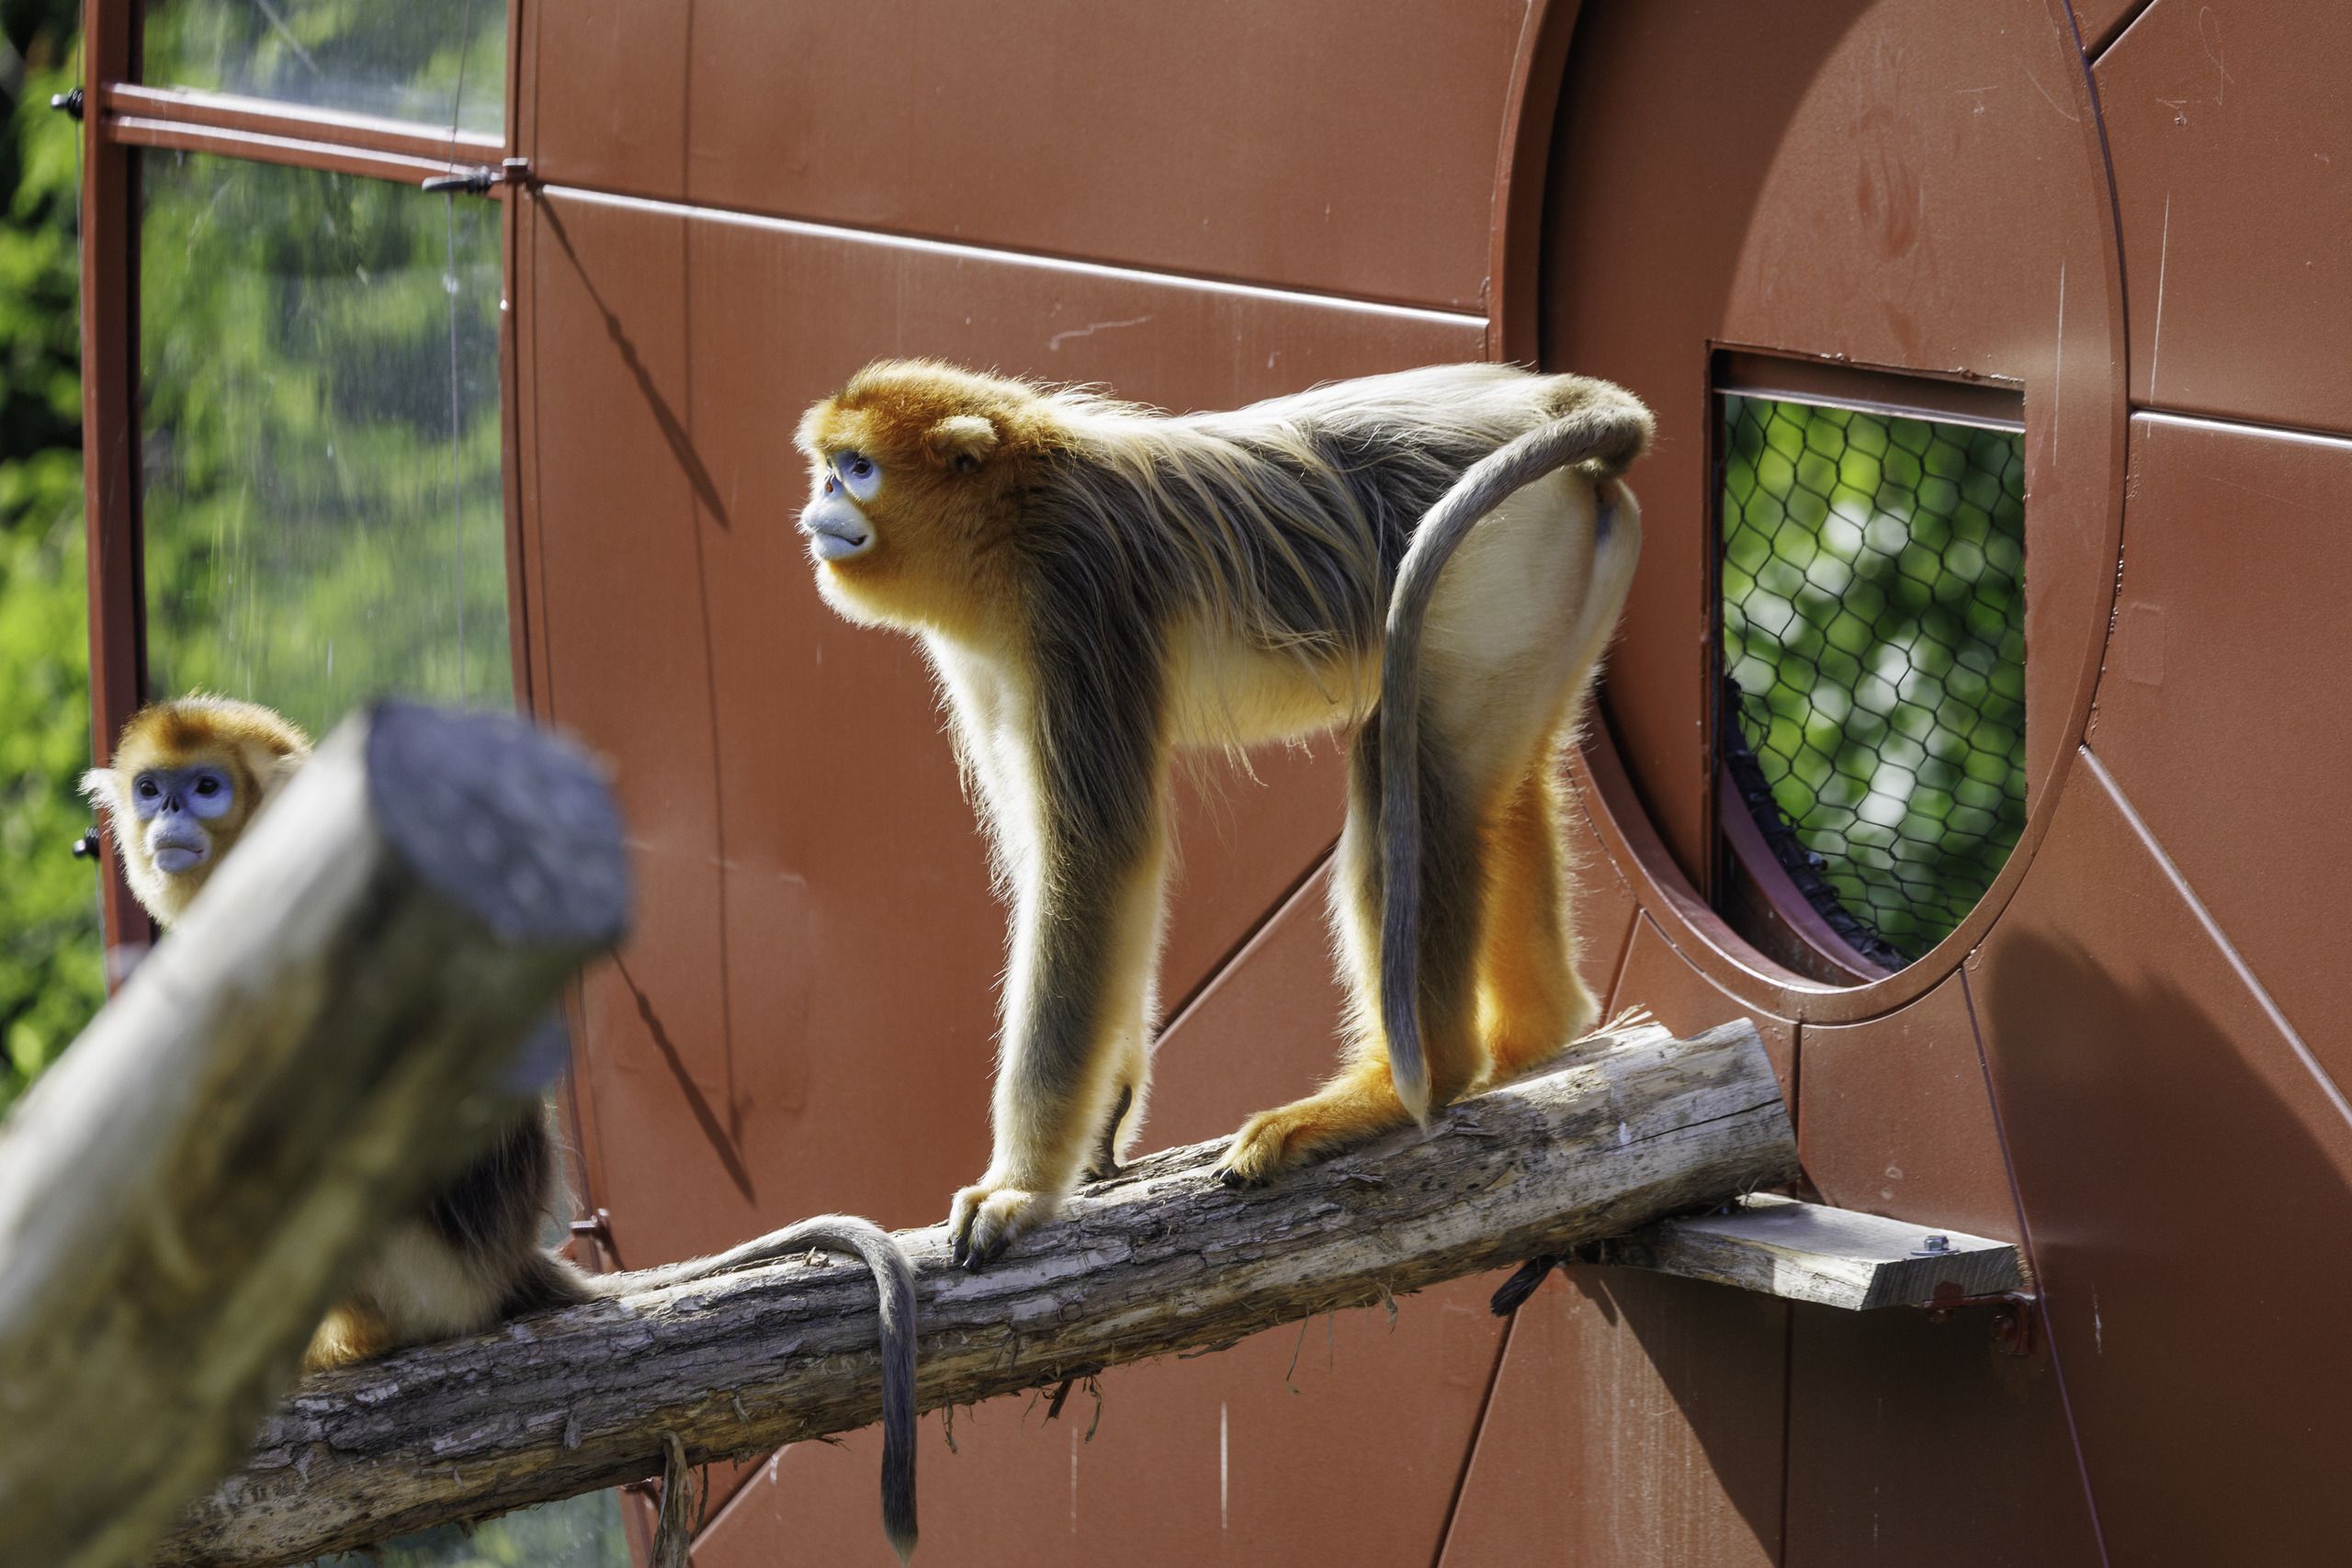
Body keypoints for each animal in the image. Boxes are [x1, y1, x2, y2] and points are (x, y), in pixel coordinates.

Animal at [794, 359, 1651, 1271]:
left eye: (858, 468)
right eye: (829, 465)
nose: (821, 498)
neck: (1016, 507)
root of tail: (1552, 400)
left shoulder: (1074, 591)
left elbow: (1093, 864)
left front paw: (1018, 1190)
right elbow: (1061, 874)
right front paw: (1109, 1103)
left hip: (1498, 554)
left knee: (1417, 784)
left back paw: (1403, 1085)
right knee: (1498, 789)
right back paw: (1538, 1034)